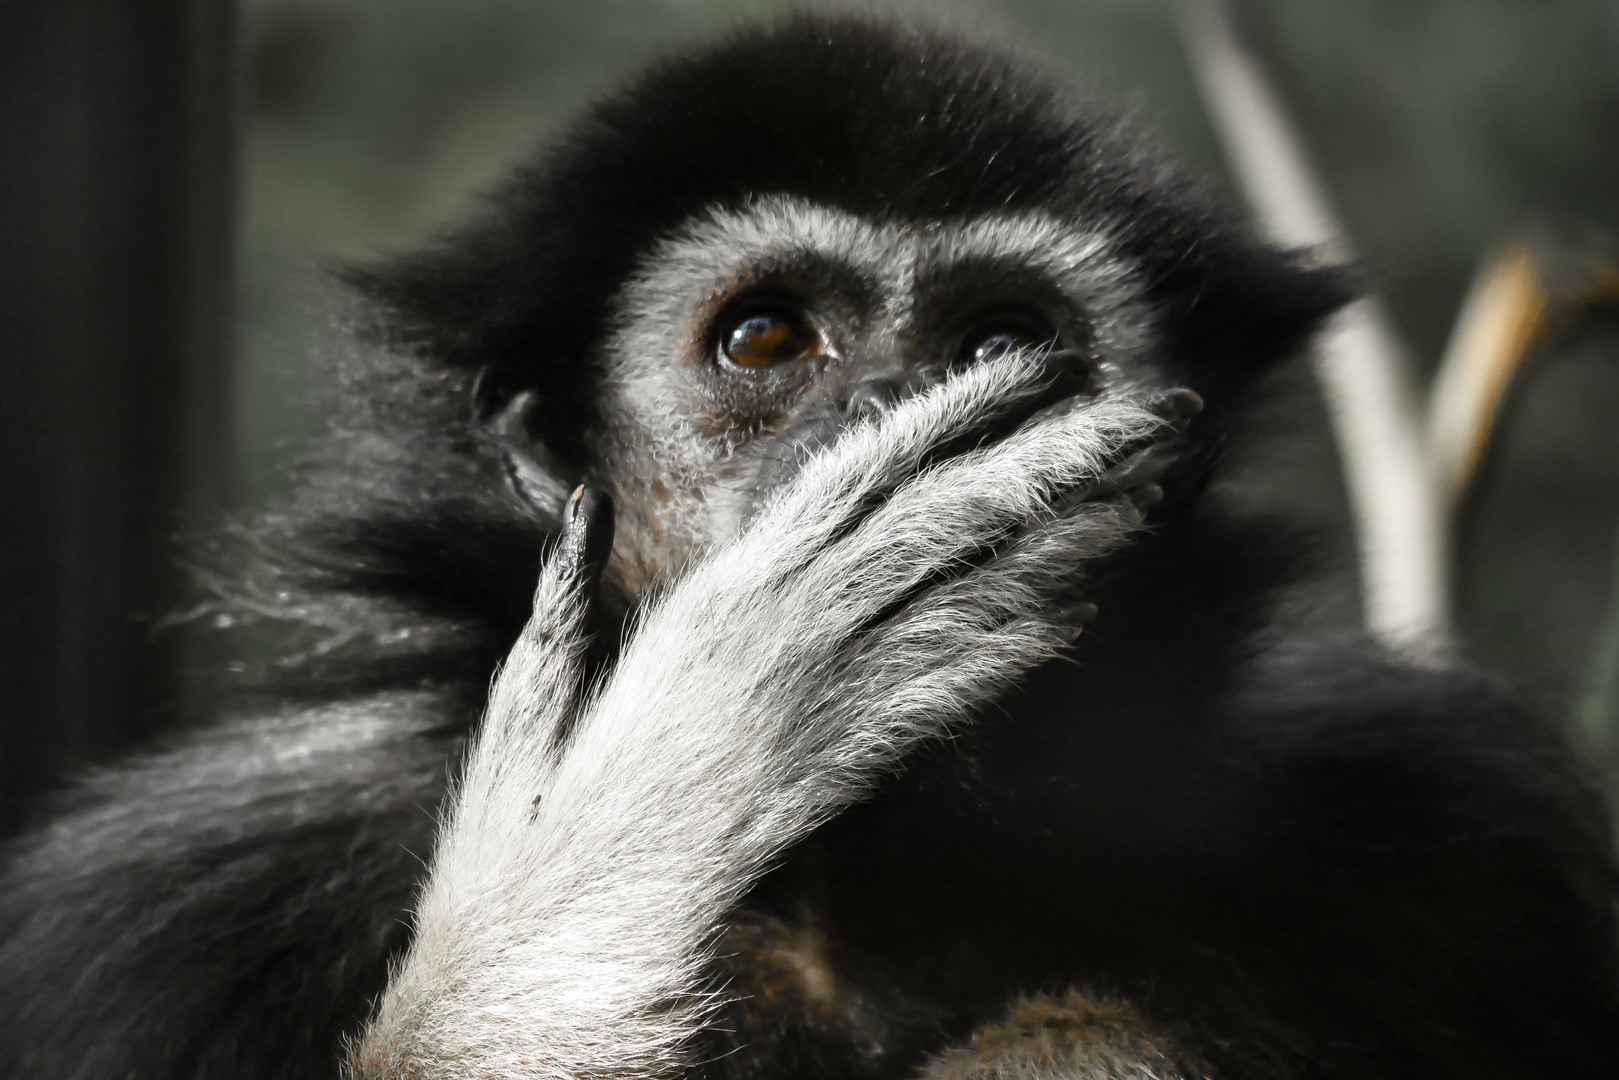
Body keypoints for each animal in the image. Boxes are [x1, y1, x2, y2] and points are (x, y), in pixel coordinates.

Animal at [2, 14, 1617, 1080]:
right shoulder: (159, 920)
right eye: (766, 339)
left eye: (1001, 340)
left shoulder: (1453, 825)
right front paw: (658, 795)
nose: (886, 408)